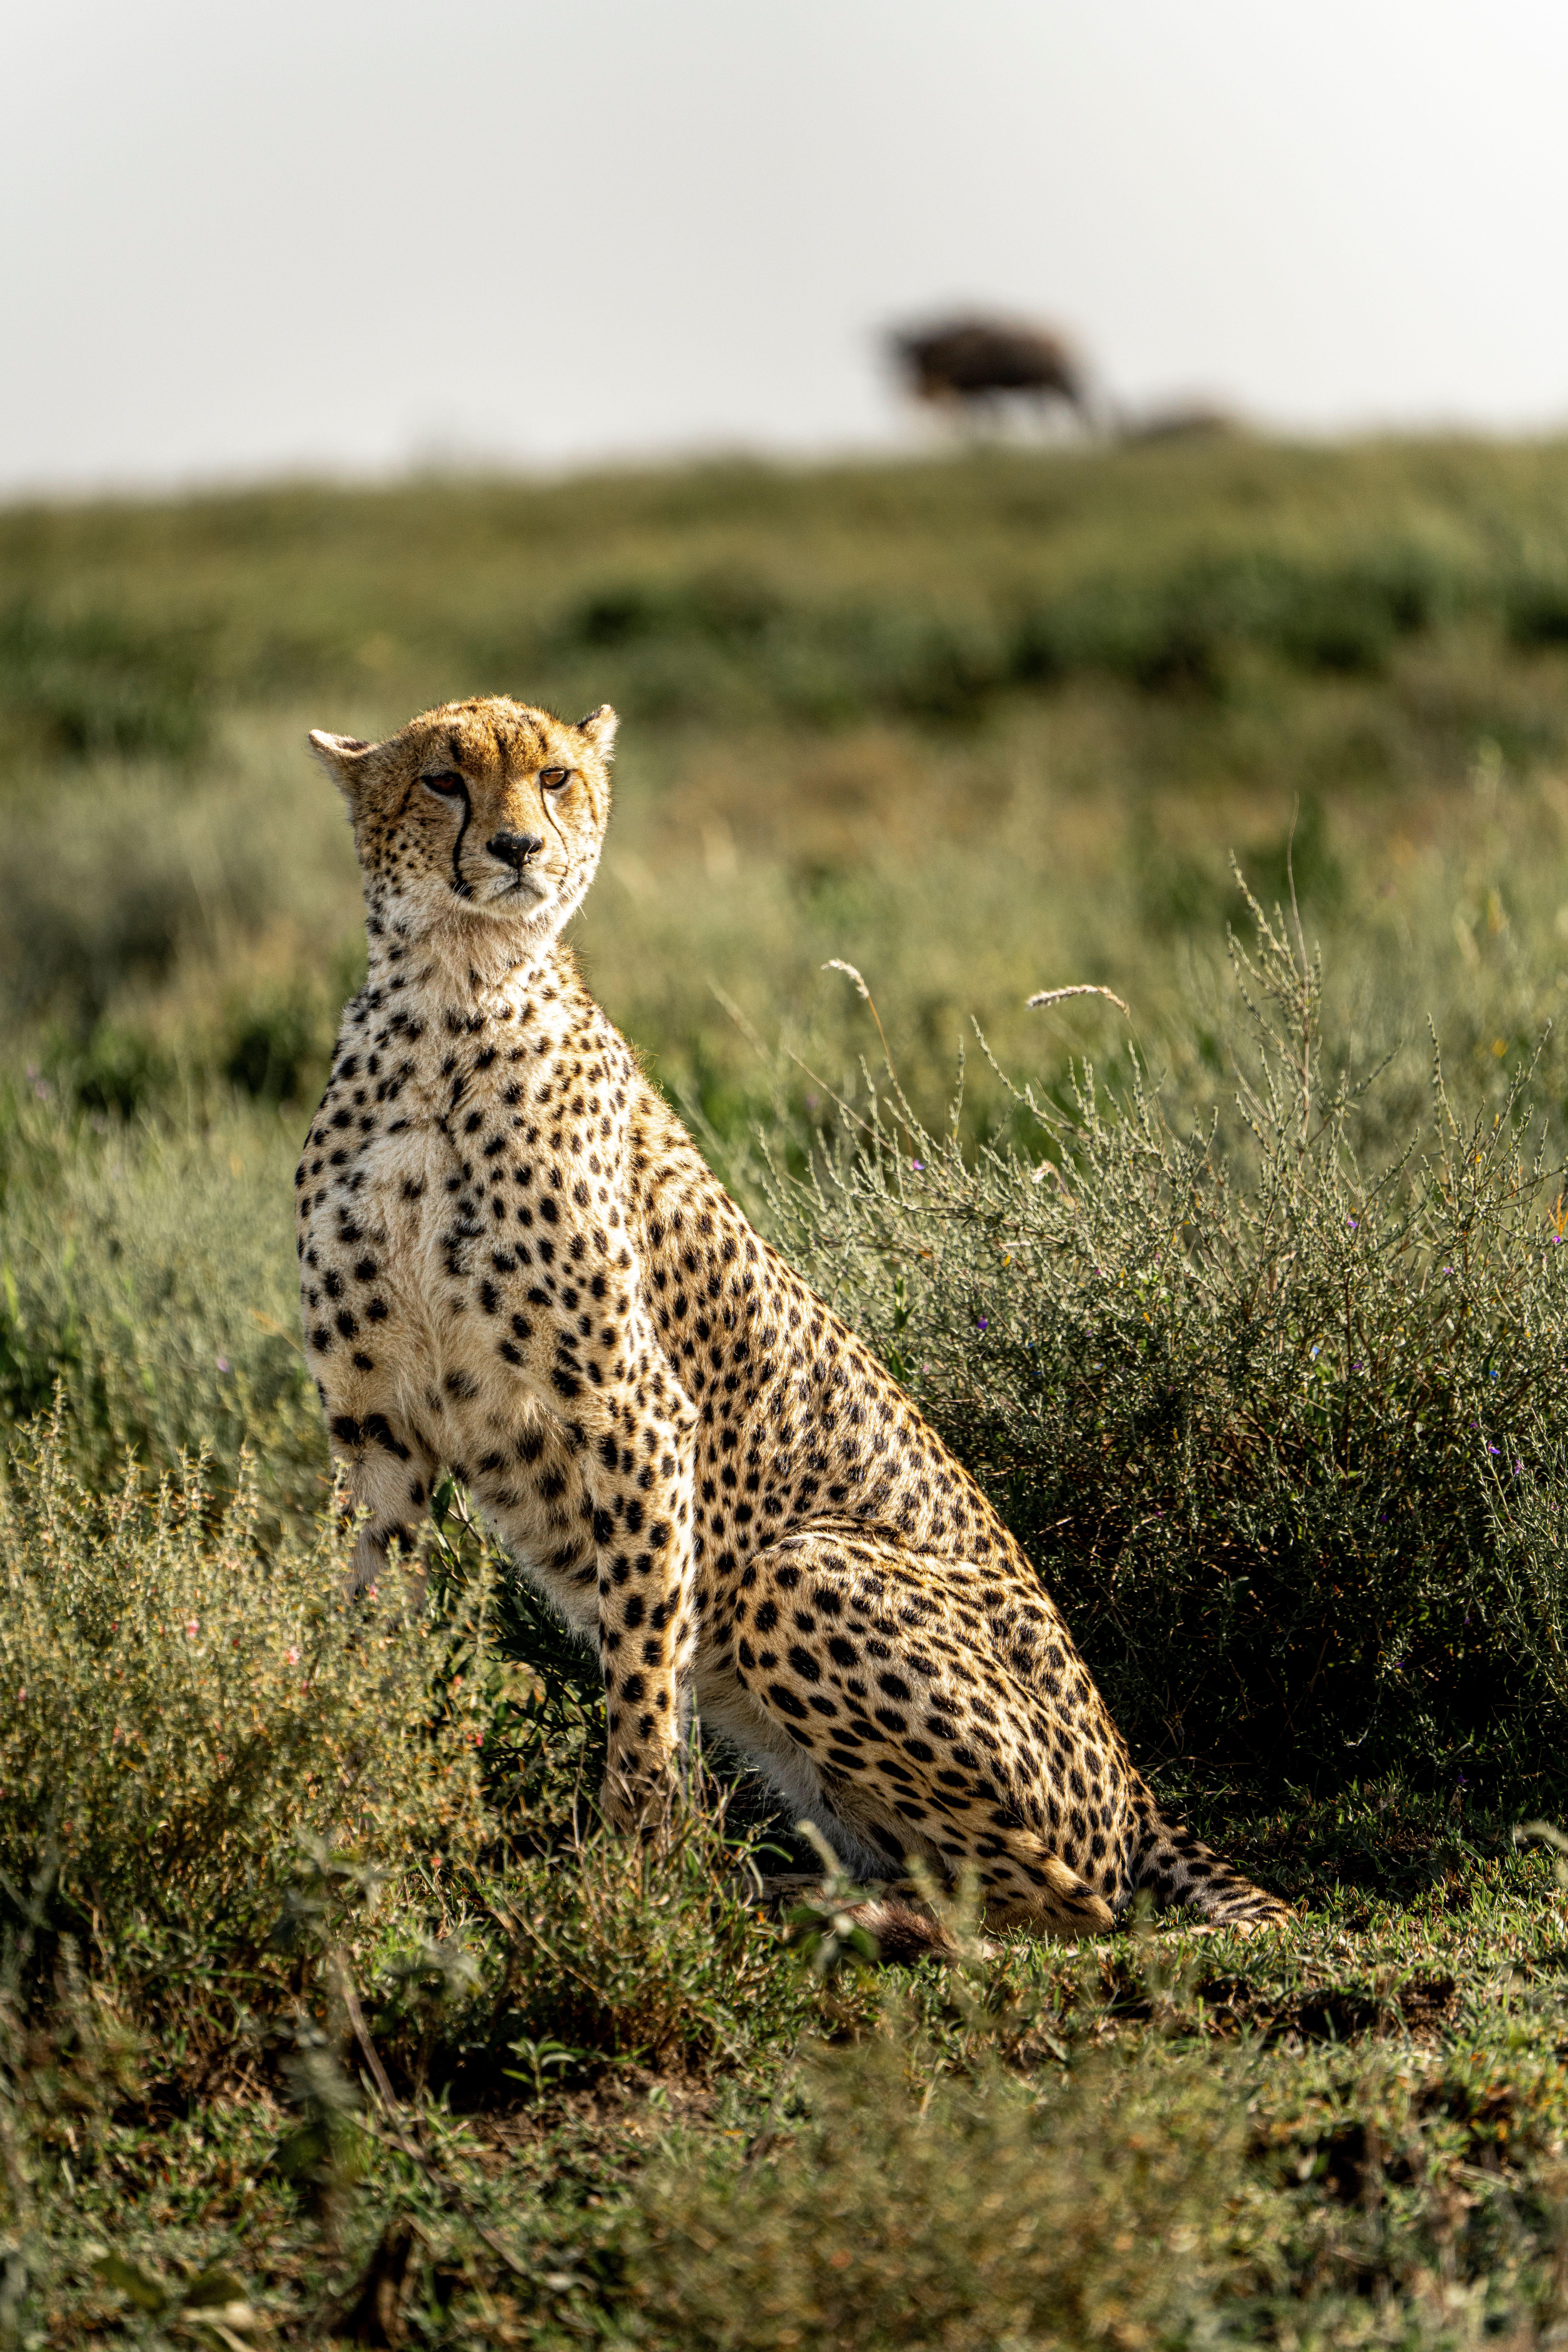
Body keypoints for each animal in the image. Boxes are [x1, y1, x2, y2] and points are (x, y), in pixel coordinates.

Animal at [296, 693, 1285, 1939]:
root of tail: (1136, 1780)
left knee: (1068, 1903)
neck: (450, 993)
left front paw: (632, 1887)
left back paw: (841, 1911)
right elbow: (359, 1627)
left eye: (556, 777)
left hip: (799, 1569)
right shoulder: (375, 1429)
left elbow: (642, 1679)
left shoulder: (635, 1419)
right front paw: (343, 1808)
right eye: (442, 780)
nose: (519, 848)